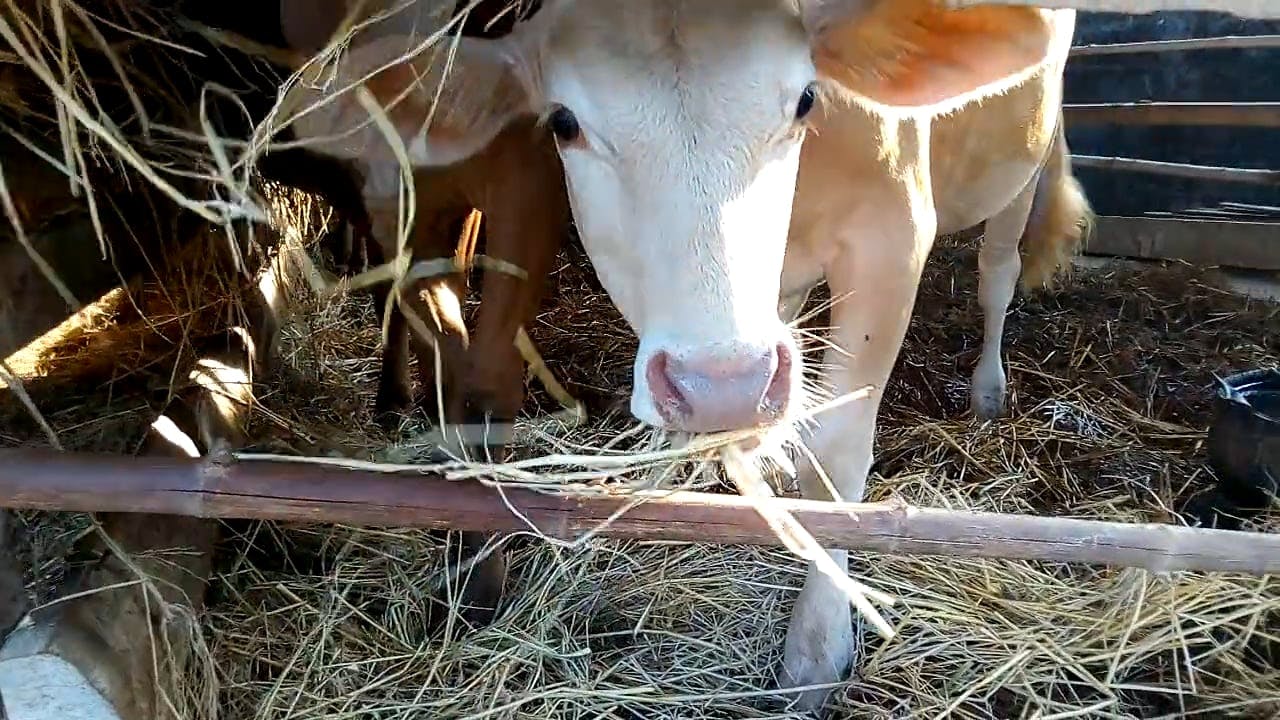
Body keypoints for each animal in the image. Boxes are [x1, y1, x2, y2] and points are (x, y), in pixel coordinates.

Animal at [286, 0, 1091, 713]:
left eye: (806, 98)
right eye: (564, 122)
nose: (719, 386)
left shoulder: (890, 240)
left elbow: (836, 460)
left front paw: (815, 651)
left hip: (1026, 154)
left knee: (998, 269)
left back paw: (987, 388)